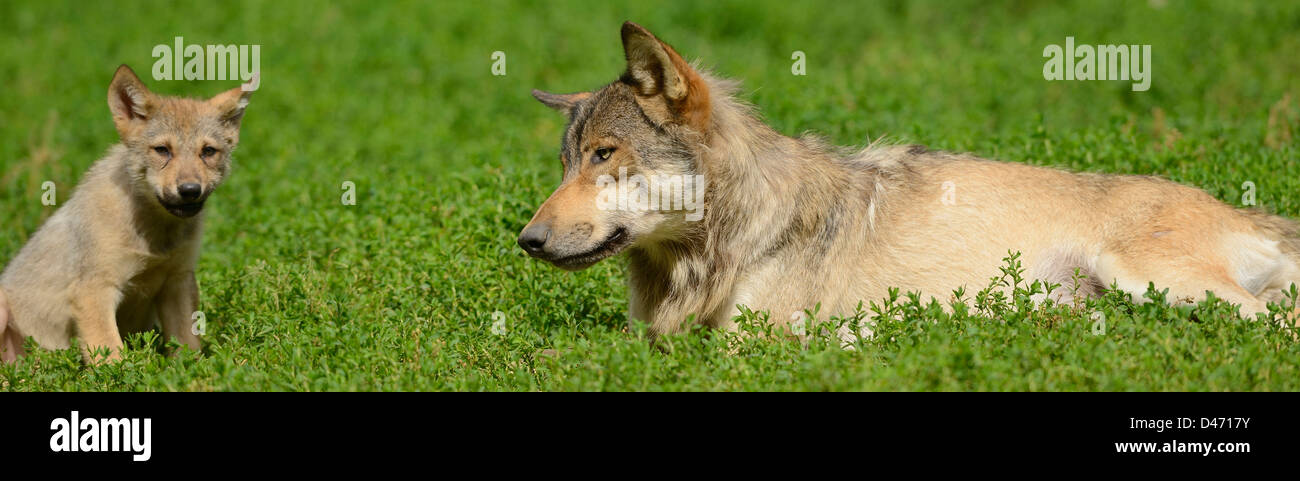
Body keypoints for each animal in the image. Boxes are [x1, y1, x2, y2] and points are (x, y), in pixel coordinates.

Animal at [0, 65, 254, 363]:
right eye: (162, 150)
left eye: (208, 152)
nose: (190, 190)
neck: (155, 233)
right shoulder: (95, 290)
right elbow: (111, 357)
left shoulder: (178, 281)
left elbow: (187, 348)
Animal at [518, 22, 1300, 340]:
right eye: (567, 162)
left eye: (605, 154)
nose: (526, 240)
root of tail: (1247, 211)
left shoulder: (754, 342)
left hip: (1154, 278)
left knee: (1272, 320)